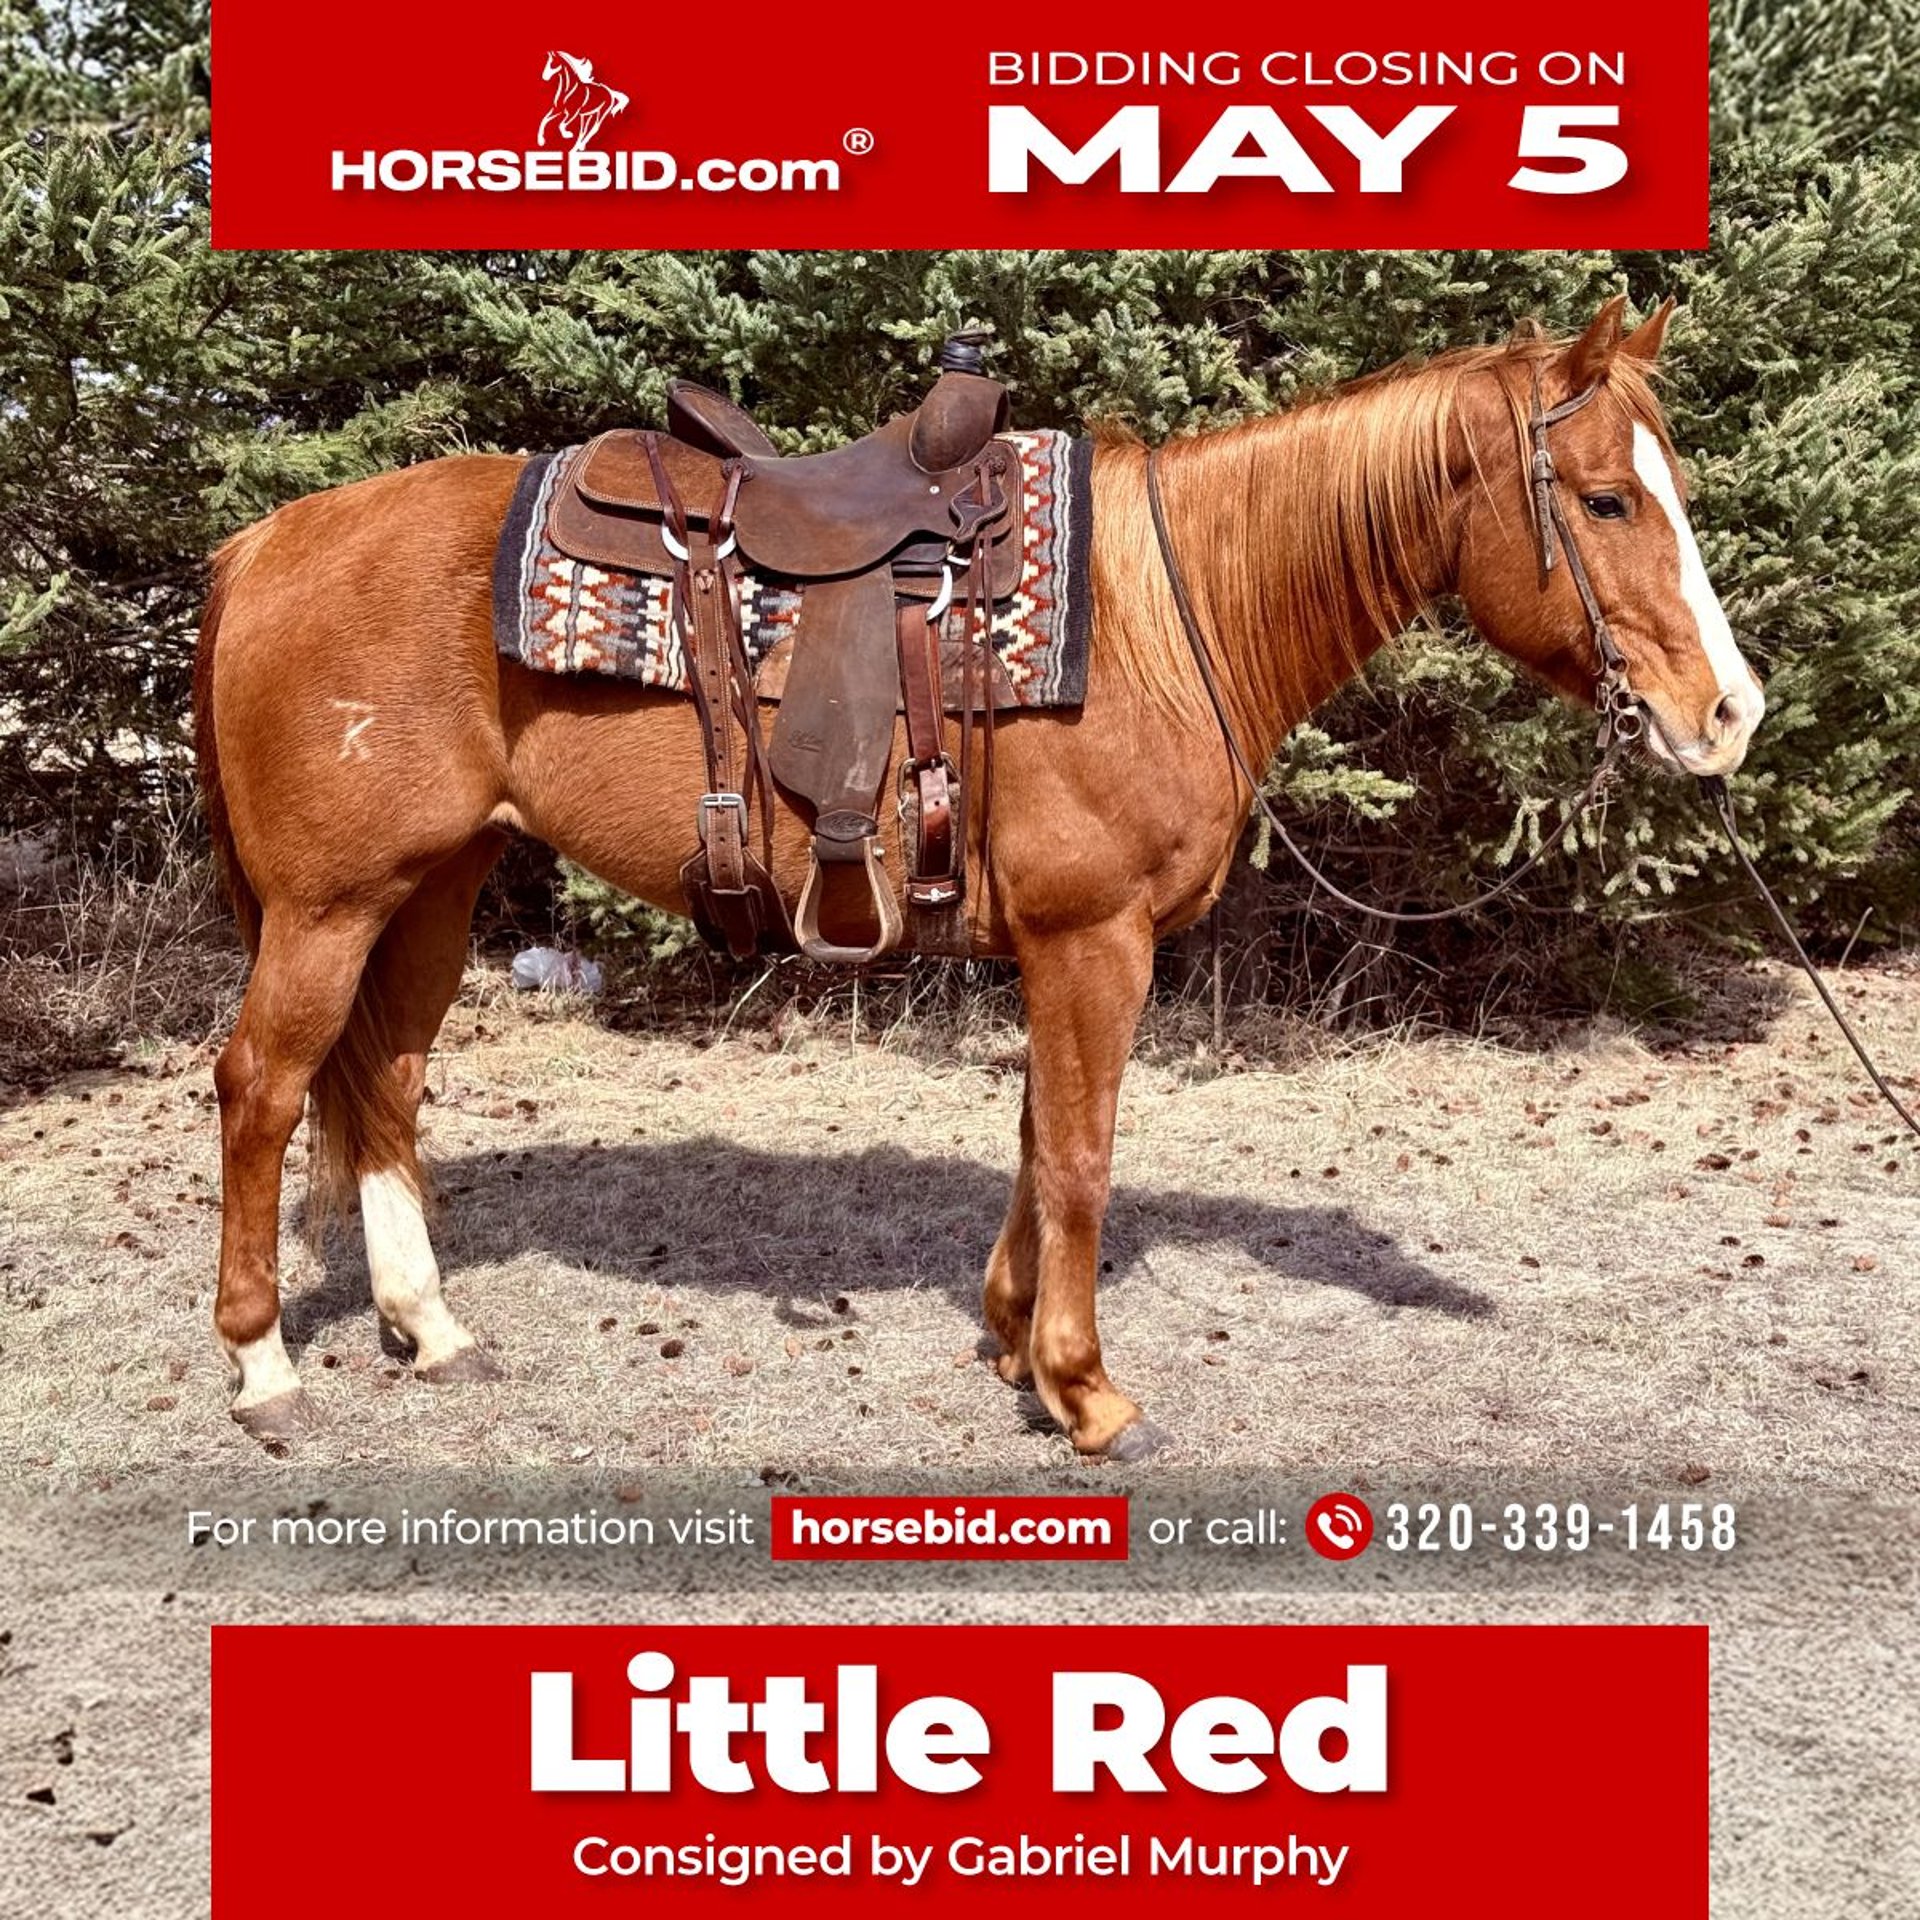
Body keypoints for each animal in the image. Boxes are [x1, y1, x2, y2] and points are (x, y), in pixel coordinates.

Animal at [191, 295, 1764, 1457]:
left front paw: (1012, 1343)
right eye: (1609, 503)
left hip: (433, 887)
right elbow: (1079, 1155)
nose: (1731, 713)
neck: (1160, 614)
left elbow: (1032, 1136)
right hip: (328, 907)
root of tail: (262, 540)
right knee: (265, 1086)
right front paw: (1086, 1390)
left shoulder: (1059, 949)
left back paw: (429, 1328)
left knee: (384, 1082)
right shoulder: (1096, 940)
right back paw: (263, 1366)